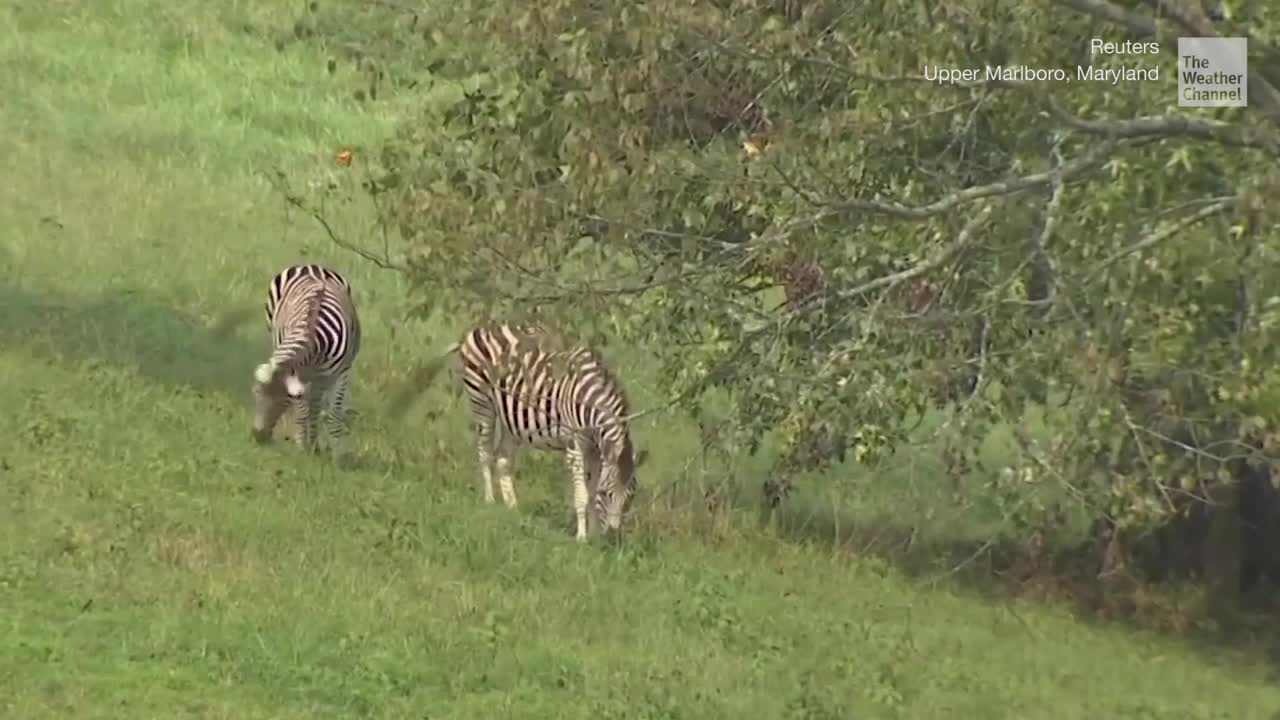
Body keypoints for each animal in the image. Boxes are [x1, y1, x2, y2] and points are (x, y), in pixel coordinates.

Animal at [251, 263, 362, 461]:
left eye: (283, 401)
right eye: (256, 394)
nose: (258, 438)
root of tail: (311, 266)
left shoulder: (341, 374)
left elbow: (333, 414)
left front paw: (338, 457)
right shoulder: (300, 374)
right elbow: (303, 411)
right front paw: (303, 448)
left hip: (322, 376)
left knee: (315, 403)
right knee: (312, 404)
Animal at [393, 322, 646, 541]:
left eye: (631, 496)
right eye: (607, 494)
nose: (613, 537)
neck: (590, 402)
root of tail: (479, 328)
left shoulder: (595, 448)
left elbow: (590, 490)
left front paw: (592, 533)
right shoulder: (575, 443)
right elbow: (583, 494)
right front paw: (582, 538)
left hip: (511, 419)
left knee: (503, 459)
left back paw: (512, 507)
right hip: (481, 401)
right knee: (484, 452)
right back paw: (489, 500)